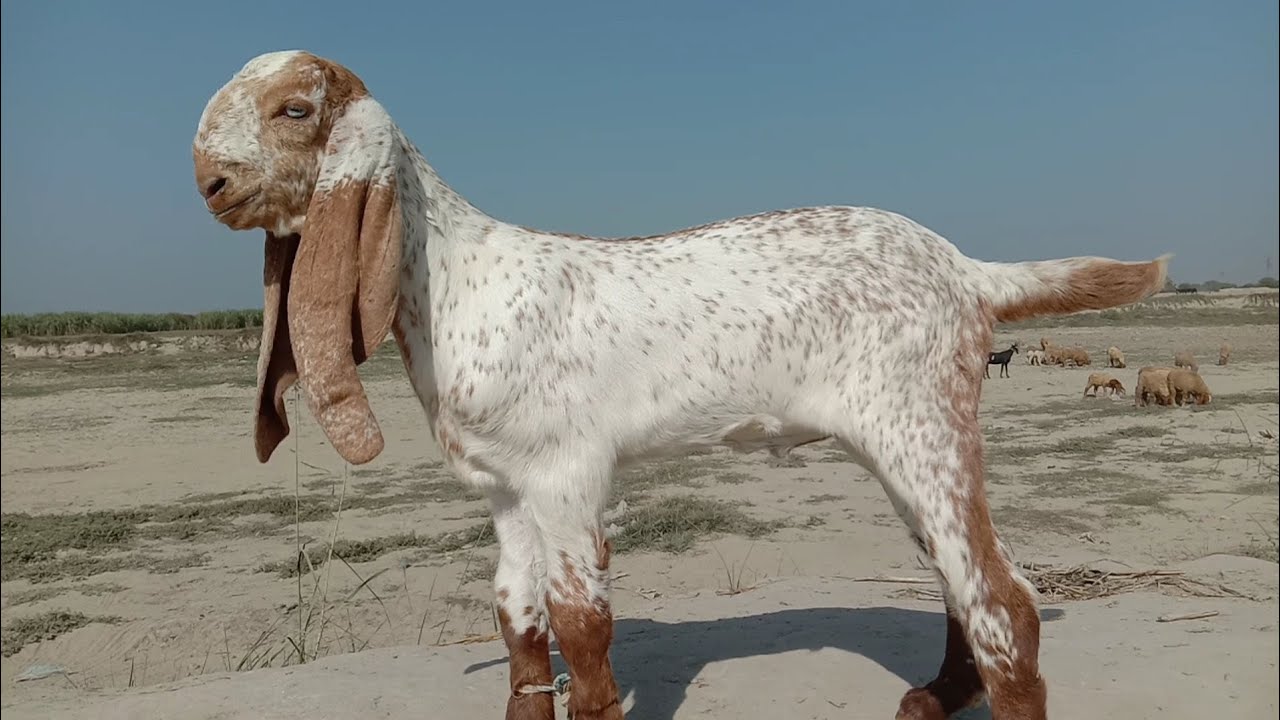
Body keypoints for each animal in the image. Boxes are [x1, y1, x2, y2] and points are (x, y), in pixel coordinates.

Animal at [192, 51, 1170, 720]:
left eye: (294, 108)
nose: (210, 182)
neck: (455, 276)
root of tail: (967, 270)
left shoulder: (568, 472)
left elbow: (582, 625)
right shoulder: (506, 487)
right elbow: (517, 619)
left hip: (918, 427)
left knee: (1002, 596)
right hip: (911, 445)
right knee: (956, 577)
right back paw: (931, 698)